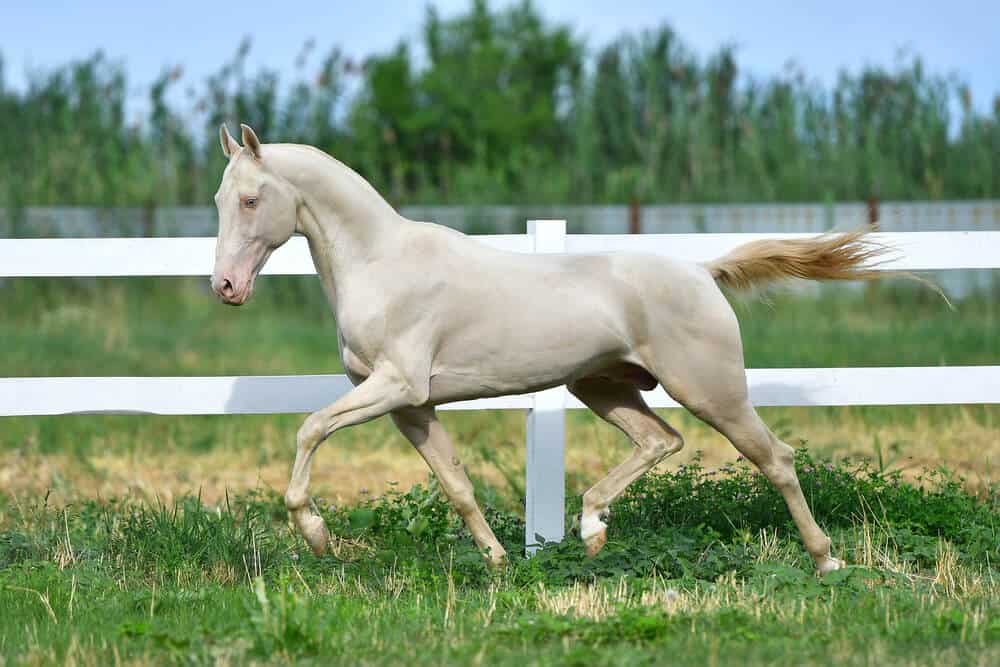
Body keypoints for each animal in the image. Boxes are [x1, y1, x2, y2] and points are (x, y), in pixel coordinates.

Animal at [212, 123, 889, 574]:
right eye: (220, 201)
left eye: (251, 199)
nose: (226, 288)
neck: (381, 263)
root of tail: (702, 271)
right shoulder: (411, 406)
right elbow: (456, 483)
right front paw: (499, 561)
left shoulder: (397, 385)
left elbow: (309, 428)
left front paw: (316, 535)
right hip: (600, 386)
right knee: (661, 441)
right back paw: (590, 529)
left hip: (710, 391)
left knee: (775, 458)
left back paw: (826, 561)